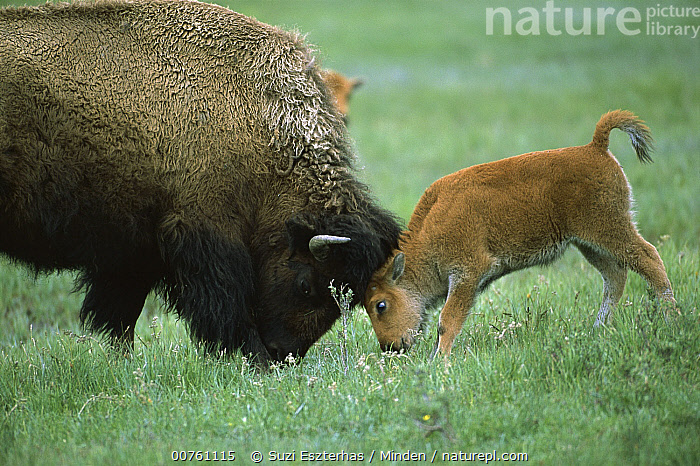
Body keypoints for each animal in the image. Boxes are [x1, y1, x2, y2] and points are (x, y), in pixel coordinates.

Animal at [0, 0, 401, 364]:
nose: (281, 354)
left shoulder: (137, 247)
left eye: (349, 298)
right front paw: (250, 357)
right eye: (306, 285)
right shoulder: (204, 231)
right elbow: (225, 302)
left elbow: (121, 315)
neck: (258, 123)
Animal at [363, 110, 677, 357]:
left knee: (648, 258)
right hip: (588, 243)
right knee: (615, 276)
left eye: (381, 305)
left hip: (610, 229)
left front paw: (440, 361)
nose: (391, 347)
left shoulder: (467, 273)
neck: (430, 229)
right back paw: (598, 329)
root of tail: (595, 147)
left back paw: (671, 317)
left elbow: (447, 320)